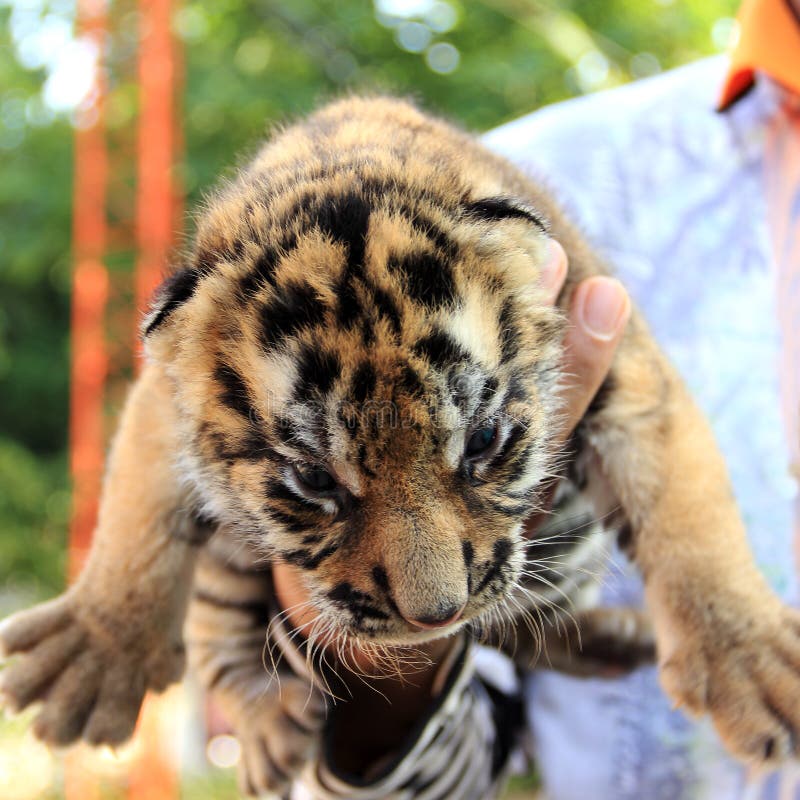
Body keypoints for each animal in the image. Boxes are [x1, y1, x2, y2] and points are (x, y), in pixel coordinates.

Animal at [1, 96, 799, 797]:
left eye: (484, 441)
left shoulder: (629, 361)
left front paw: (754, 663)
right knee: (227, 646)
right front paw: (97, 652)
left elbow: (690, 513)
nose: (437, 616)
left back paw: (617, 642)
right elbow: (136, 521)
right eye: (314, 481)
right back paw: (268, 733)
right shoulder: (162, 404)